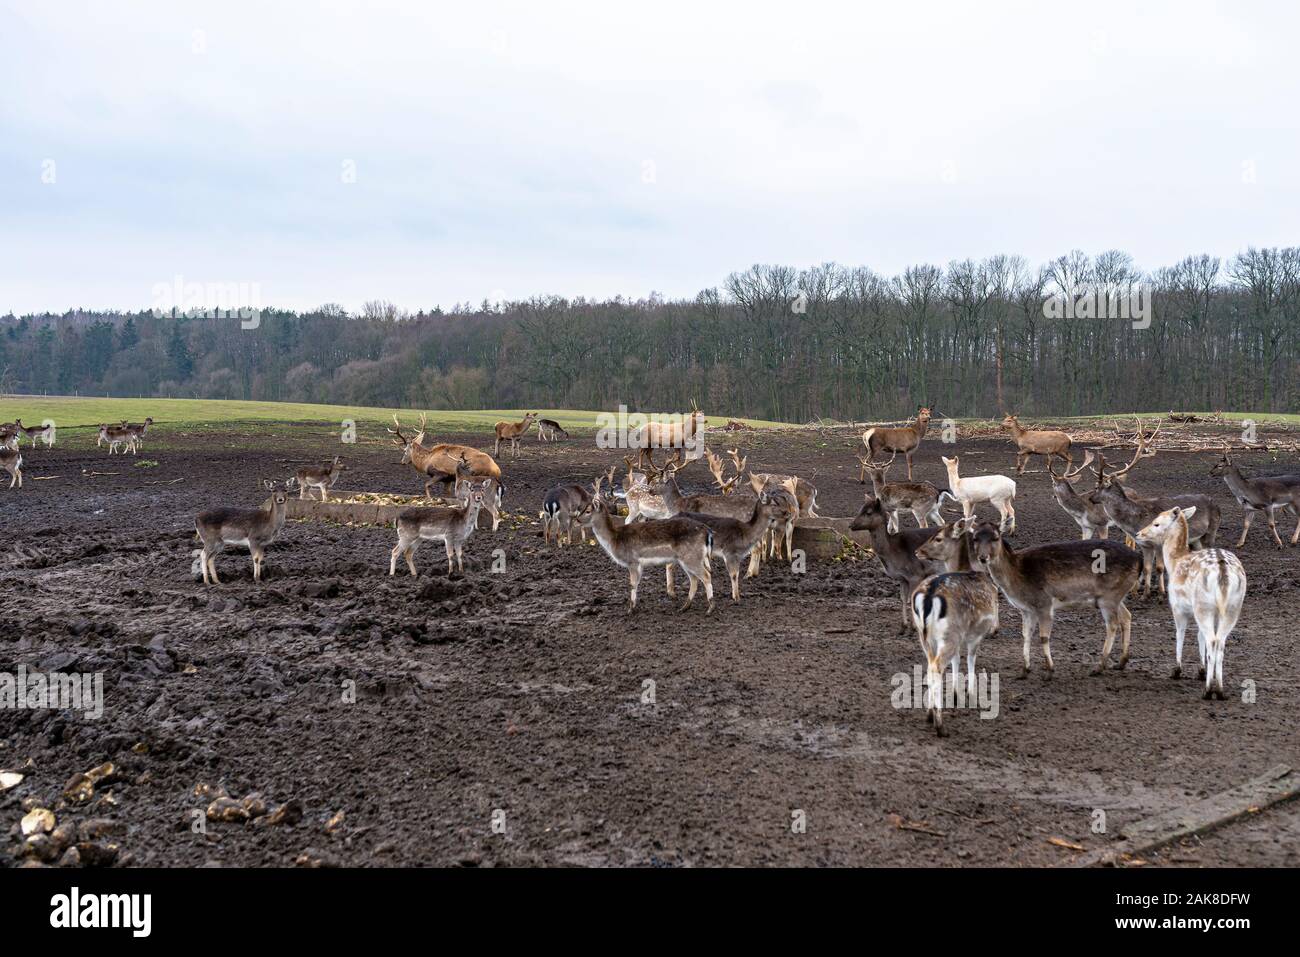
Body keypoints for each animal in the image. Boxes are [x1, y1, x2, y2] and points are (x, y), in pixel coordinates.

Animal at [587, 485, 715, 613]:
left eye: (587, 511)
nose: (614, 511)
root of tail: (707, 532)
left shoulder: (633, 562)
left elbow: (633, 583)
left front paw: (631, 609)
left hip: (690, 557)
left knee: (705, 575)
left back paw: (709, 608)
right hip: (686, 559)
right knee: (695, 579)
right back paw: (684, 607)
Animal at [850, 494, 944, 634]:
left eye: (868, 512)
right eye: (860, 509)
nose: (851, 525)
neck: (892, 553)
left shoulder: (916, 574)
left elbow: (912, 598)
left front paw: (914, 627)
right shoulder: (902, 578)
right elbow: (903, 598)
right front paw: (903, 626)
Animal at [1136, 506, 1247, 699]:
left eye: (1156, 523)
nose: (1138, 533)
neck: (1175, 561)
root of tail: (1222, 570)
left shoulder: (1177, 606)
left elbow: (1180, 633)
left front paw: (1177, 670)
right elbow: (1199, 635)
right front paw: (1201, 671)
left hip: (1203, 605)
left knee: (1212, 640)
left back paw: (1208, 691)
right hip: (1232, 606)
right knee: (1220, 641)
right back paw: (1220, 690)